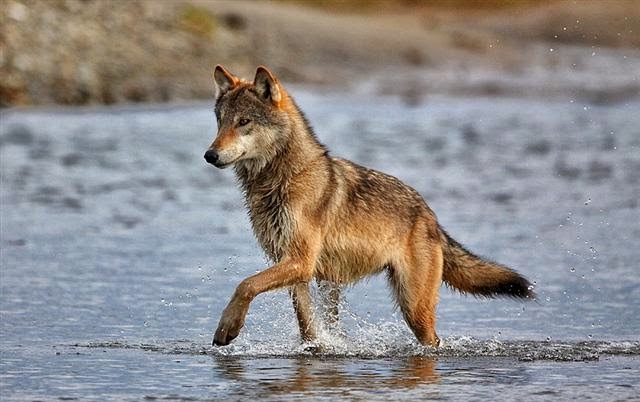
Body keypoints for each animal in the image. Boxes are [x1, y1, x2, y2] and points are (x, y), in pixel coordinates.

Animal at [204, 65, 534, 347]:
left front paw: (227, 328)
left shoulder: (300, 261)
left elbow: (245, 284)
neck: (282, 179)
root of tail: (430, 215)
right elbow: (306, 325)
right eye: (220, 122)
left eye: (243, 122)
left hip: (414, 310)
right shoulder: (294, 267)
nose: (209, 155)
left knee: (433, 341)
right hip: (335, 287)